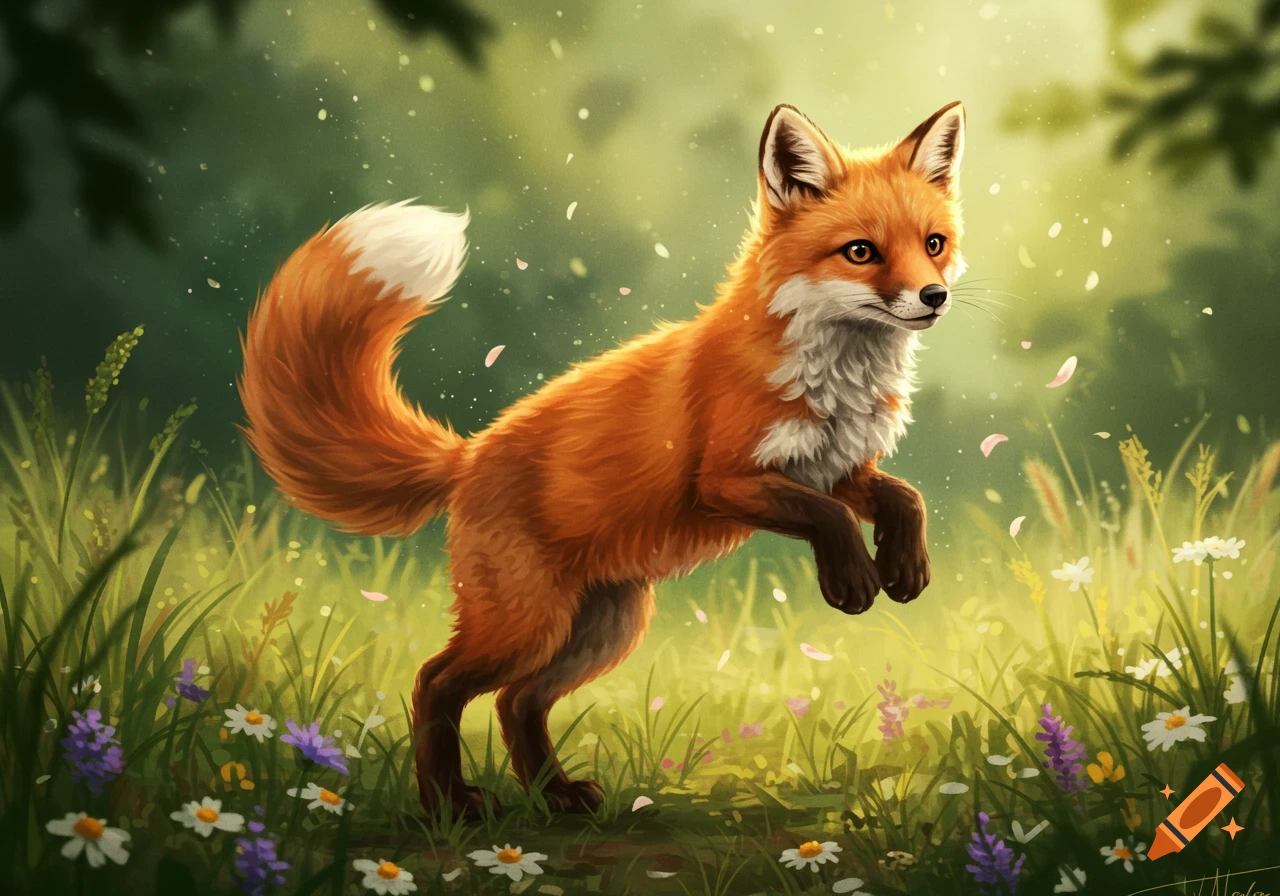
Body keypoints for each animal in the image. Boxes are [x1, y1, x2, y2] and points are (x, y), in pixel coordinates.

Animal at [239, 101, 967, 817]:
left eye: (933, 244)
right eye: (861, 252)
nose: (935, 298)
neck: (832, 375)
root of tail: (470, 452)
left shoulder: (835, 467)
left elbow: (904, 497)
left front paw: (905, 567)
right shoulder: (725, 479)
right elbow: (830, 519)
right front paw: (854, 581)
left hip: (601, 628)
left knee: (517, 701)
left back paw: (556, 795)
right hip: (526, 623)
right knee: (435, 682)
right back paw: (451, 804)